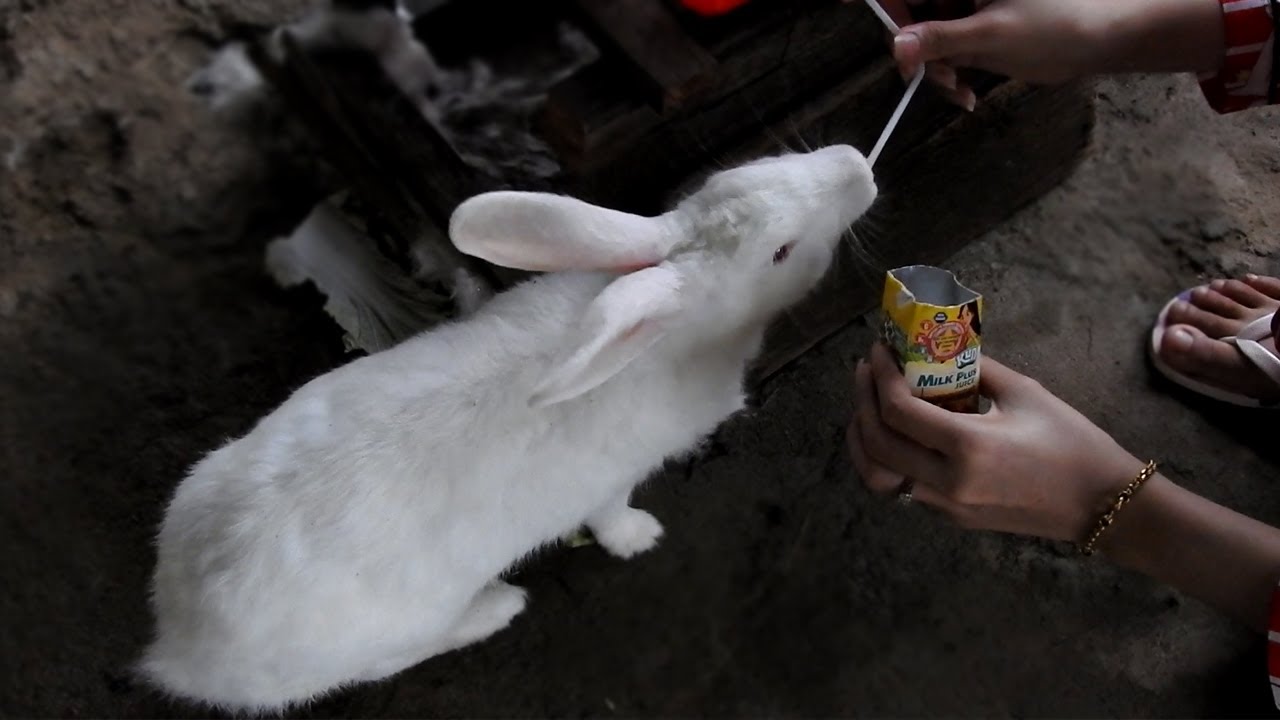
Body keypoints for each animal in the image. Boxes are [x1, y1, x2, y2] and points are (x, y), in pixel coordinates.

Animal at [137, 144, 878, 715]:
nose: (856, 165)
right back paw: (500, 606)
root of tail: (182, 645)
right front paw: (640, 538)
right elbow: (611, 516)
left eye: (744, 172)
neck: (678, 332)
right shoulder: (609, 483)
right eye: (780, 252)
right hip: (396, 632)